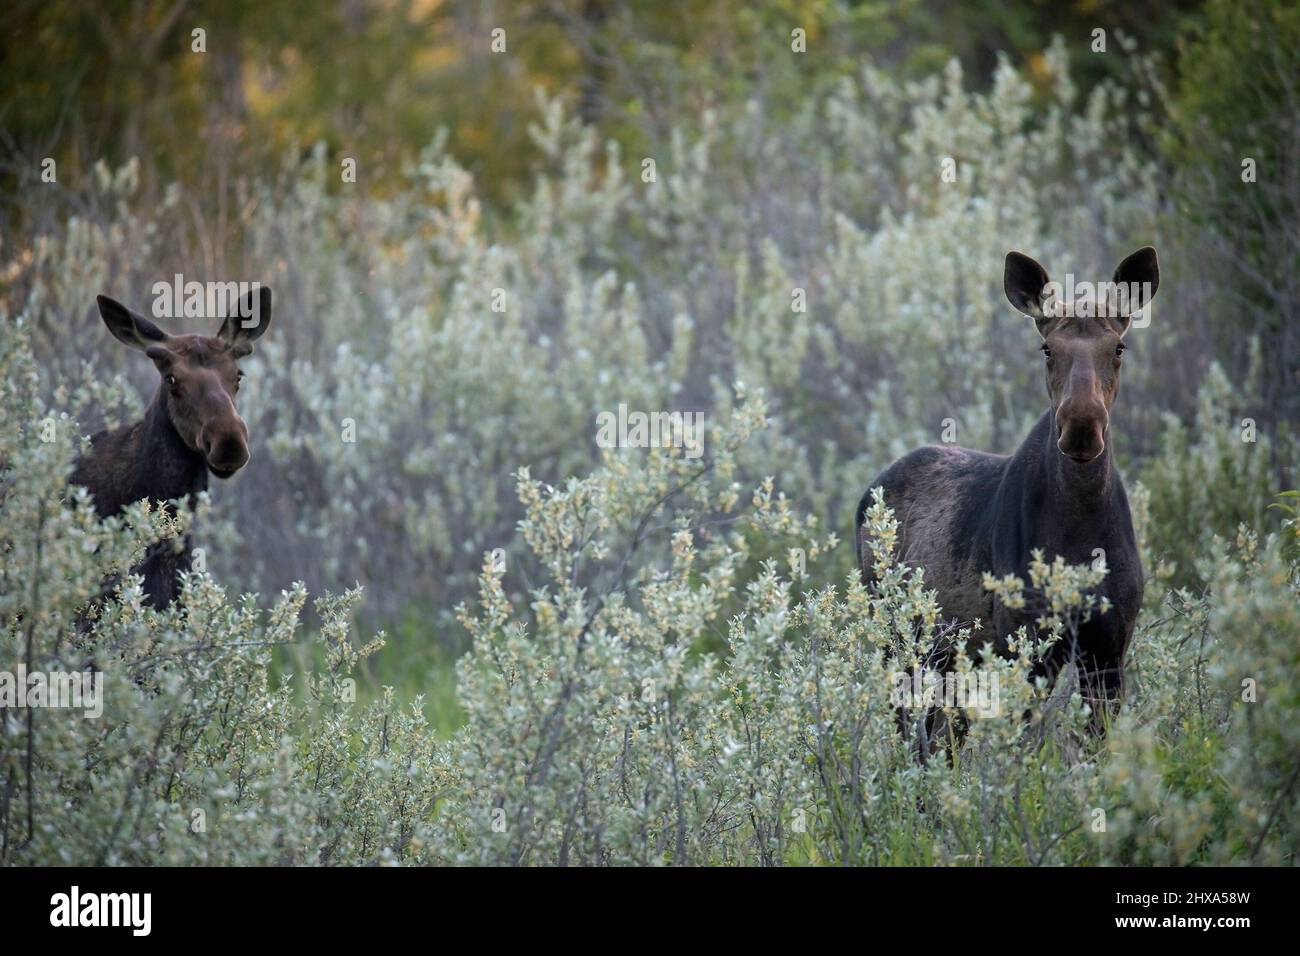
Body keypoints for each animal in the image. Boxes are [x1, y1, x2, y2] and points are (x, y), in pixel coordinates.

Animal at [855, 248, 1158, 751]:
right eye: (1047, 349)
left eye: (1118, 348)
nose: (1081, 426)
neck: (1081, 526)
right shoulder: (1026, 646)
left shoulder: (1110, 649)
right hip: (896, 639)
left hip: (950, 657)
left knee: (942, 738)